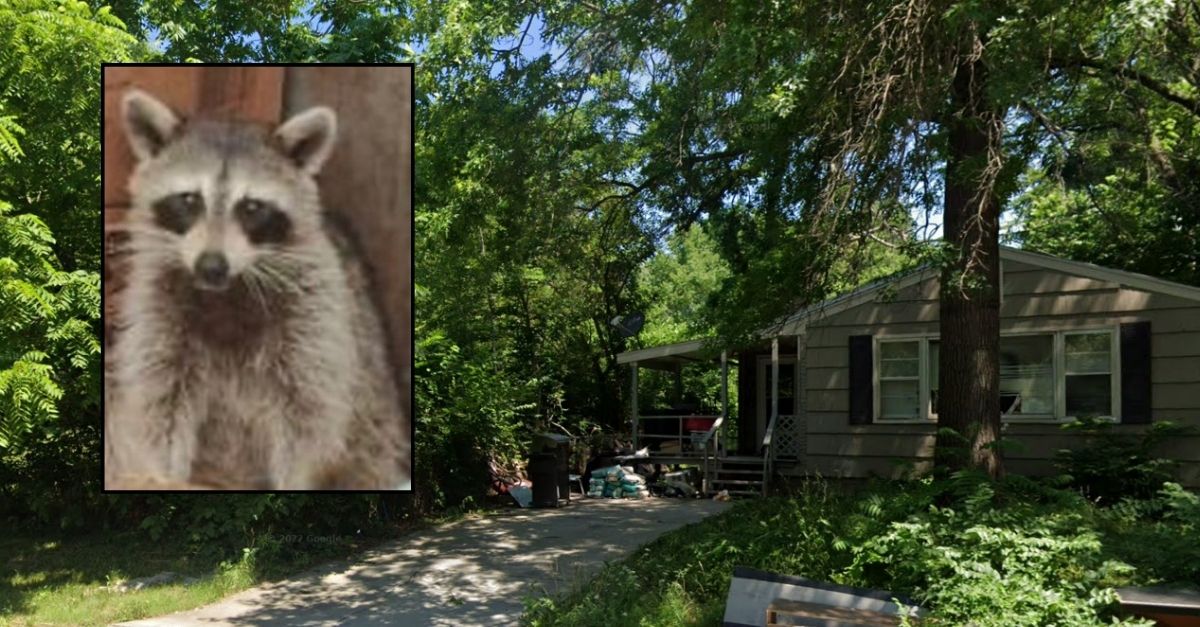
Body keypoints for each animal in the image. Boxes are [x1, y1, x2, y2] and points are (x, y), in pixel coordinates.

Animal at [105, 88, 410, 491]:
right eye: (189, 199)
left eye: (251, 207)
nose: (211, 265)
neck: (227, 291)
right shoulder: (159, 307)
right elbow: (158, 405)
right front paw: (159, 474)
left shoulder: (315, 310)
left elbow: (309, 417)